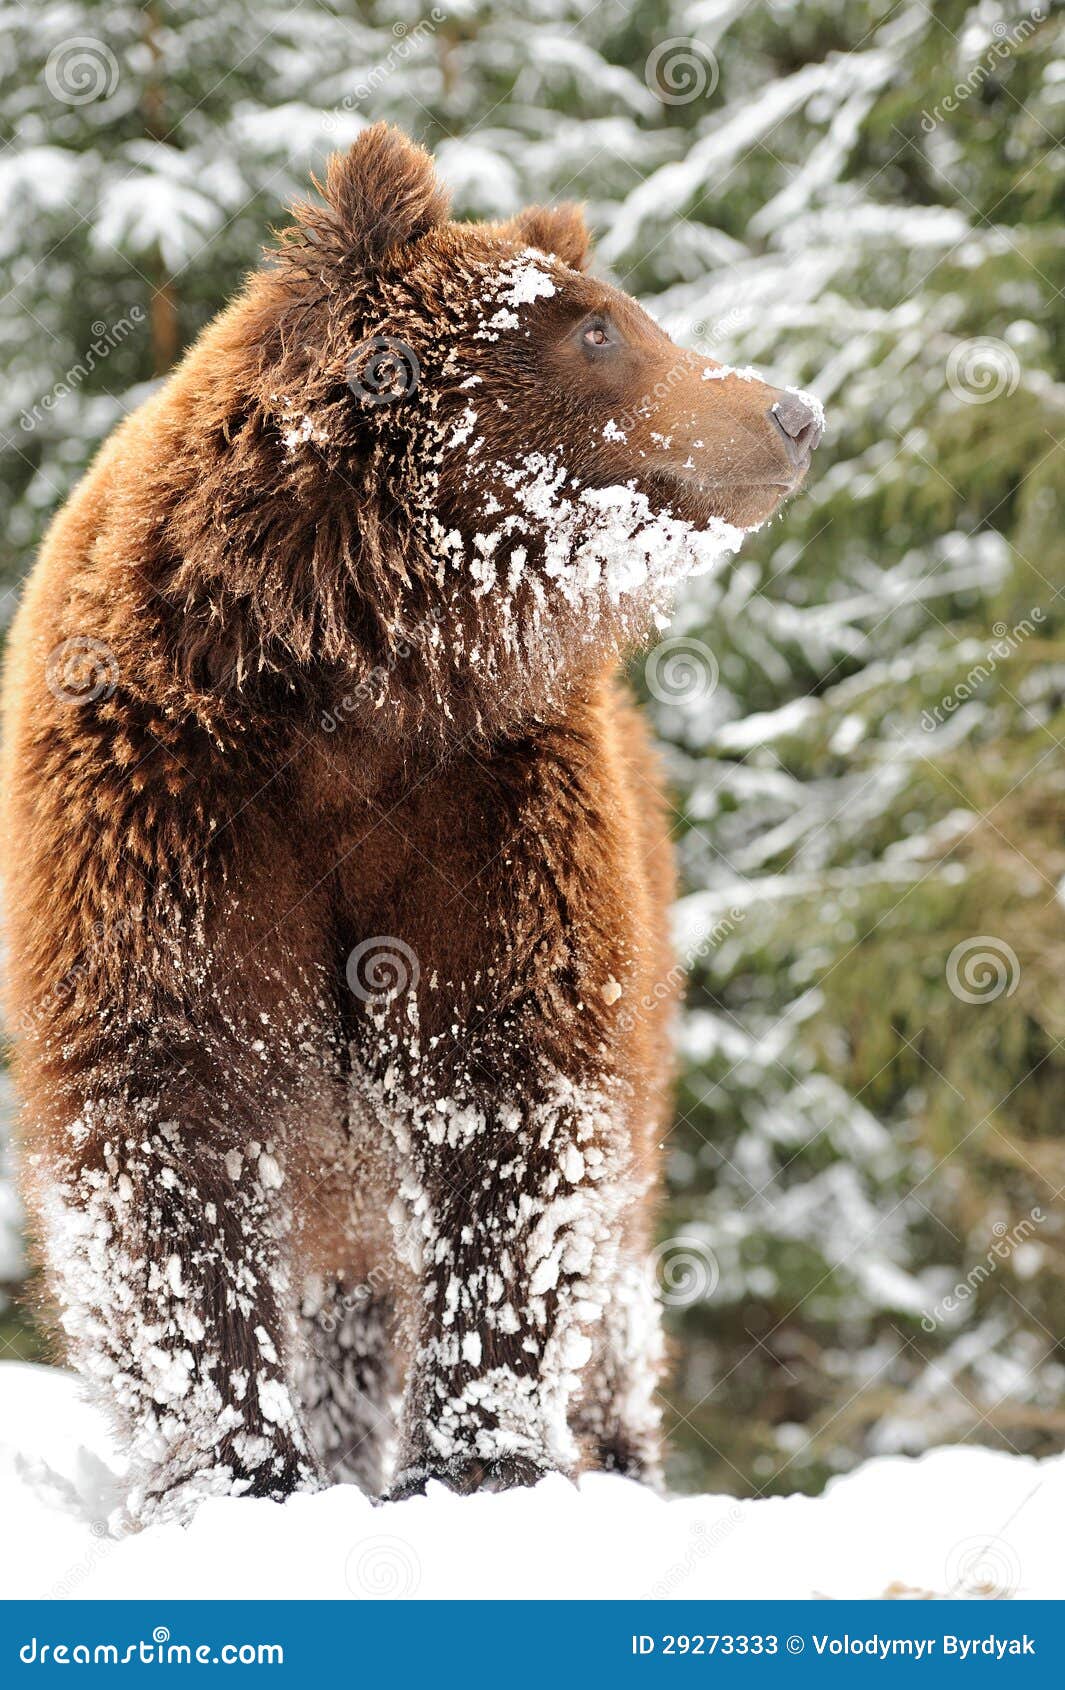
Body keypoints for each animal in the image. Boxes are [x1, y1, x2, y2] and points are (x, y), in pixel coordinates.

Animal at [0, 124, 821, 1524]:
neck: (359, 666)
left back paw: (615, 1450)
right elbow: (165, 1127)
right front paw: (233, 1471)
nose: (790, 411)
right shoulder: (167, 812)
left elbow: (511, 1101)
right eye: (596, 327)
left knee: (617, 1275)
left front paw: (487, 1453)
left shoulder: (489, 814)